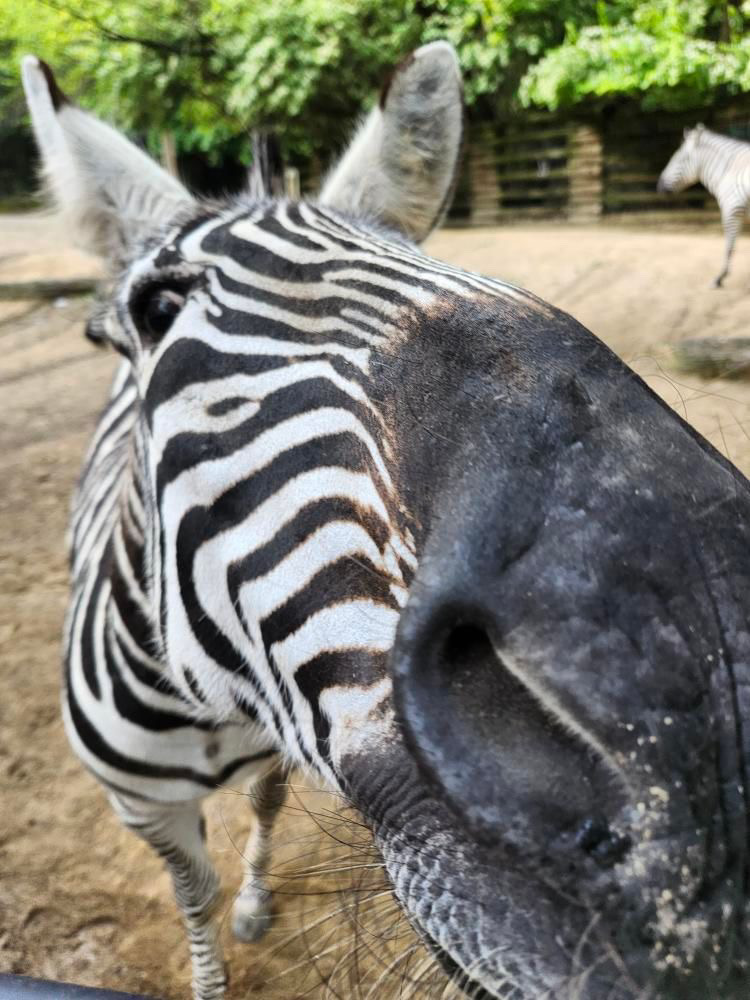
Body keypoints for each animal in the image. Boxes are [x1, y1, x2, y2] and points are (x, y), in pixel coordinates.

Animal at [657, 123, 750, 287]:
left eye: (679, 159)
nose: (659, 186)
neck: (730, 171)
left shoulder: (732, 210)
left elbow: (730, 246)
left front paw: (719, 278)